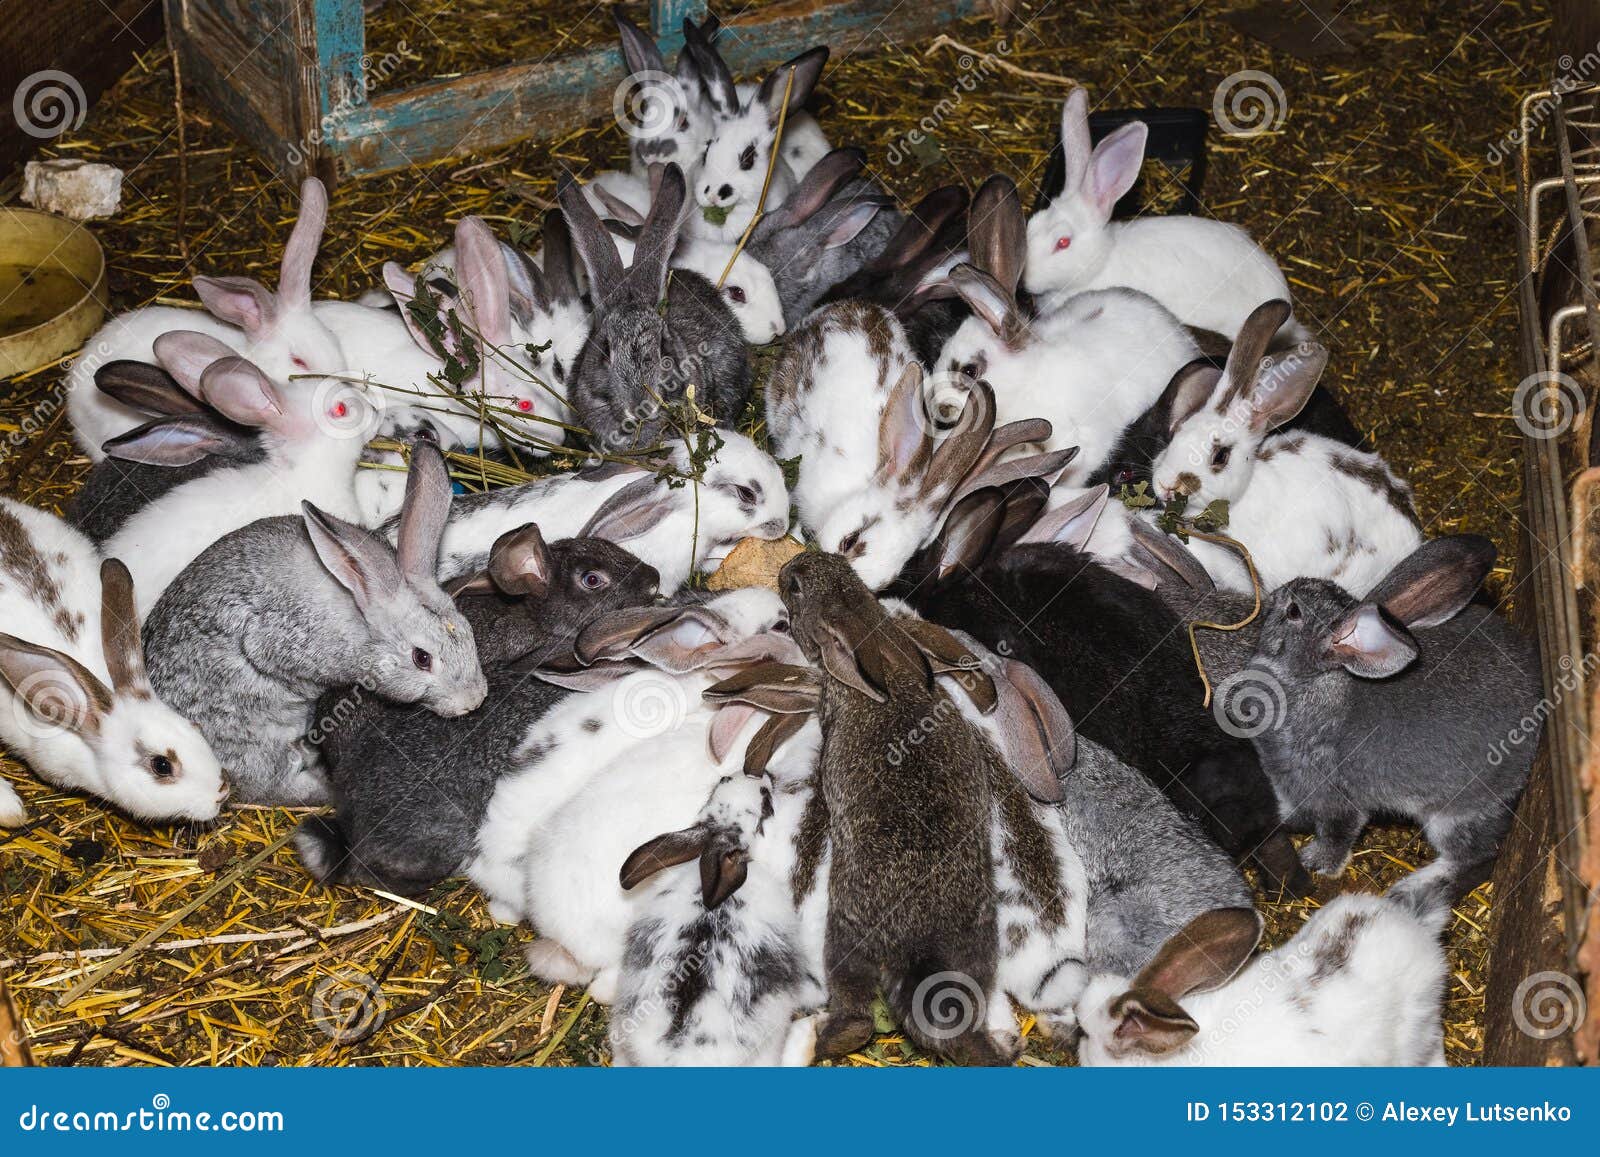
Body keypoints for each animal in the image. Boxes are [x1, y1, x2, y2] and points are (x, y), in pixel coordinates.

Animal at [141, 440, 486, 805]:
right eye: (422, 658)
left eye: (467, 630)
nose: (474, 700)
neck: (360, 607)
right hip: (257, 744)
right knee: (274, 786)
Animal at [1243, 534, 1543, 916]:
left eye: (1293, 612)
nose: (1282, 591)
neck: (1316, 680)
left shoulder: (1336, 795)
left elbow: (1337, 832)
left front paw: (1318, 862)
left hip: (1457, 814)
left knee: (1477, 857)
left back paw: (1410, 890)